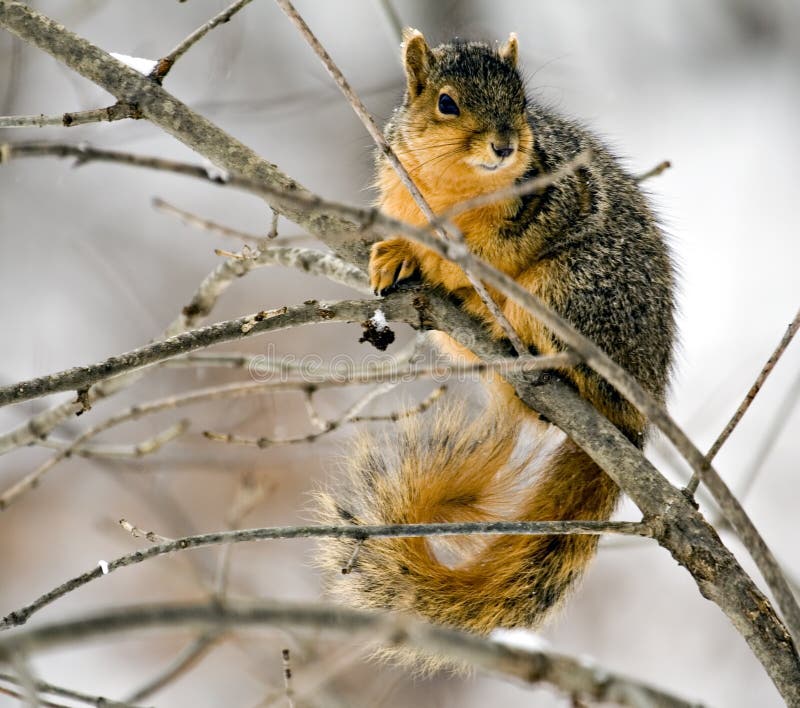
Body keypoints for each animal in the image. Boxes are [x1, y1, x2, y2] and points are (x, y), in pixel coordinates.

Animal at [316, 30, 676, 649]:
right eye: (446, 102)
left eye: (522, 97)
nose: (506, 145)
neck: (456, 185)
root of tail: (637, 409)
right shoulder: (399, 190)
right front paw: (394, 252)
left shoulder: (555, 197)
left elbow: (490, 253)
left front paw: (439, 262)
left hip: (573, 288)